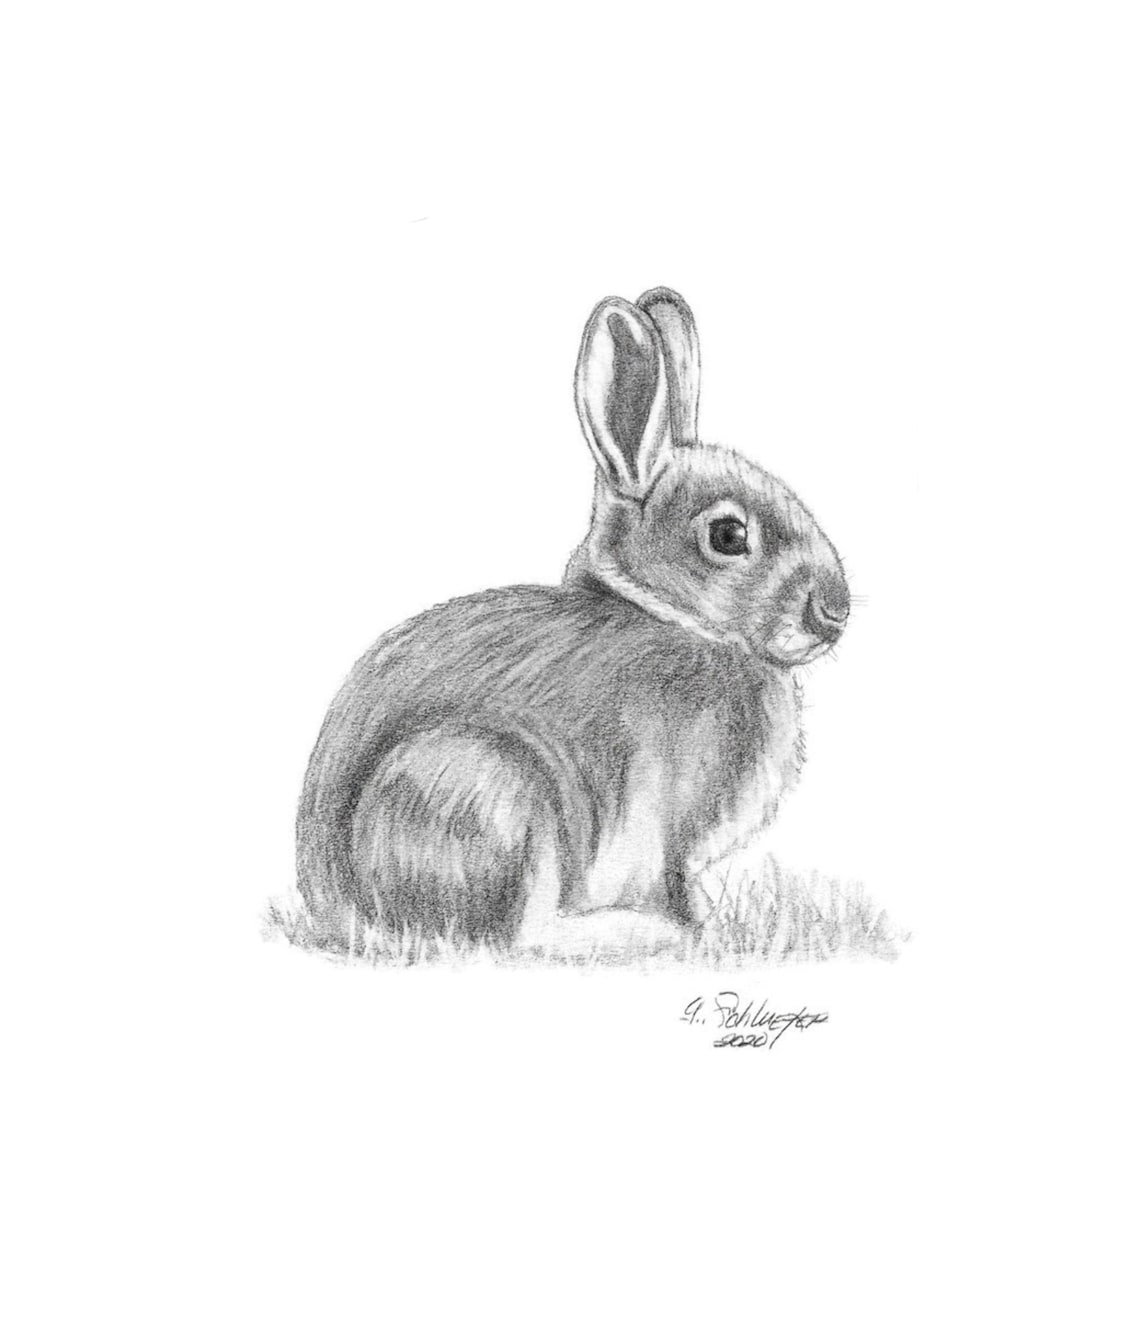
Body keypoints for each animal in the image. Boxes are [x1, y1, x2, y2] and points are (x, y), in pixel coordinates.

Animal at [296, 287, 850, 955]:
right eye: (728, 536)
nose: (835, 613)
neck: (672, 617)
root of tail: (337, 903)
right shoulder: (669, 833)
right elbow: (677, 887)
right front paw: (700, 931)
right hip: (489, 792)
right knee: (514, 938)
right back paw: (636, 933)